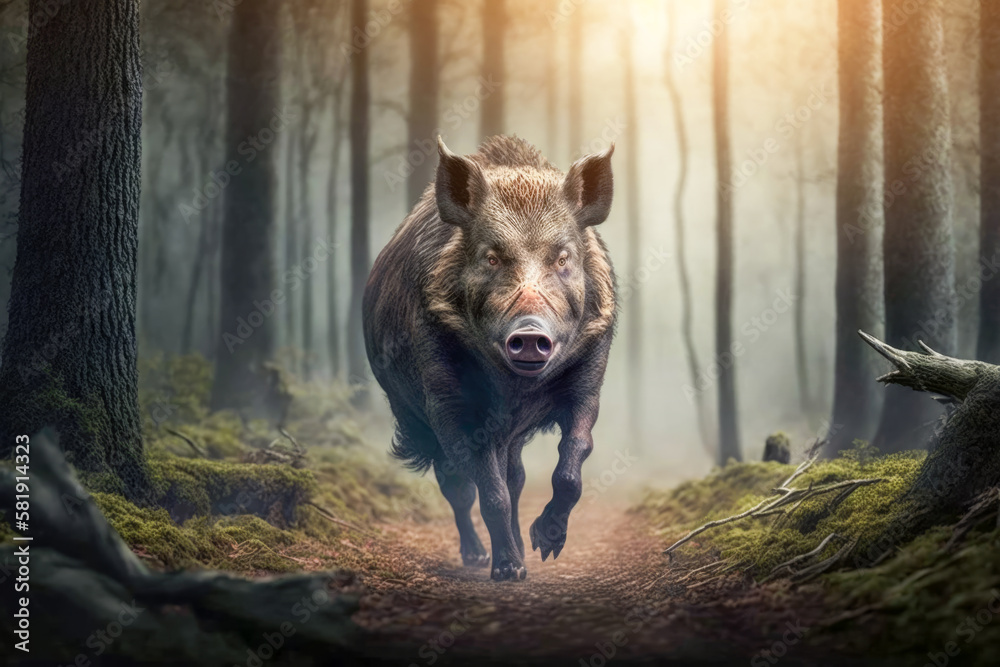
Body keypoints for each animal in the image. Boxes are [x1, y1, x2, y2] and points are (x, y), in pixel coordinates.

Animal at [362, 135, 616, 581]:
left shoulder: (589, 381)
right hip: (414, 413)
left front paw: (545, 548)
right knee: (460, 487)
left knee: (516, 478)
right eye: (491, 256)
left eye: (563, 257)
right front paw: (507, 573)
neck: (516, 389)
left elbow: (573, 459)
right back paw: (479, 558)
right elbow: (487, 490)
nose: (529, 334)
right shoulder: (451, 403)